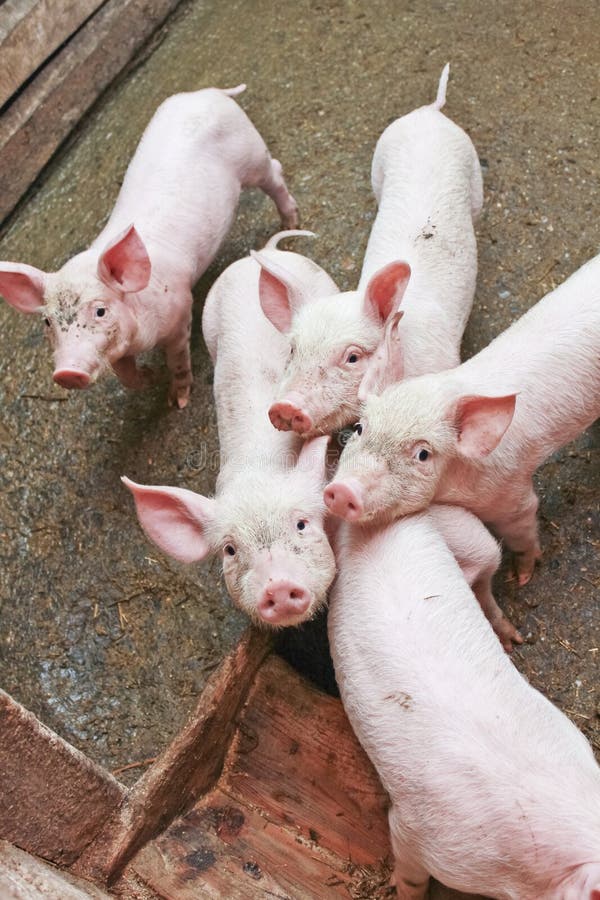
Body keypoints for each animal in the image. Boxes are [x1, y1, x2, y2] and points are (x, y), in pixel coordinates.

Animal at [0, 85, 298, 408]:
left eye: (100, 311)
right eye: (46, 321)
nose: (67, 373)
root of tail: (210, 92)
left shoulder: (180, 310)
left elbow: (177, 359)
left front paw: (177, 402)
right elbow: (126, 376)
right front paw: (149, 377)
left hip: (252, 155)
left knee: (275, 172)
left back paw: (290, 223)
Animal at [325, 252, 600, 584]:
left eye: (423, 454)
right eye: (359, 429)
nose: (343, 490)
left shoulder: (512, 492)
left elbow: (524, 527)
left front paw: (520, 577)